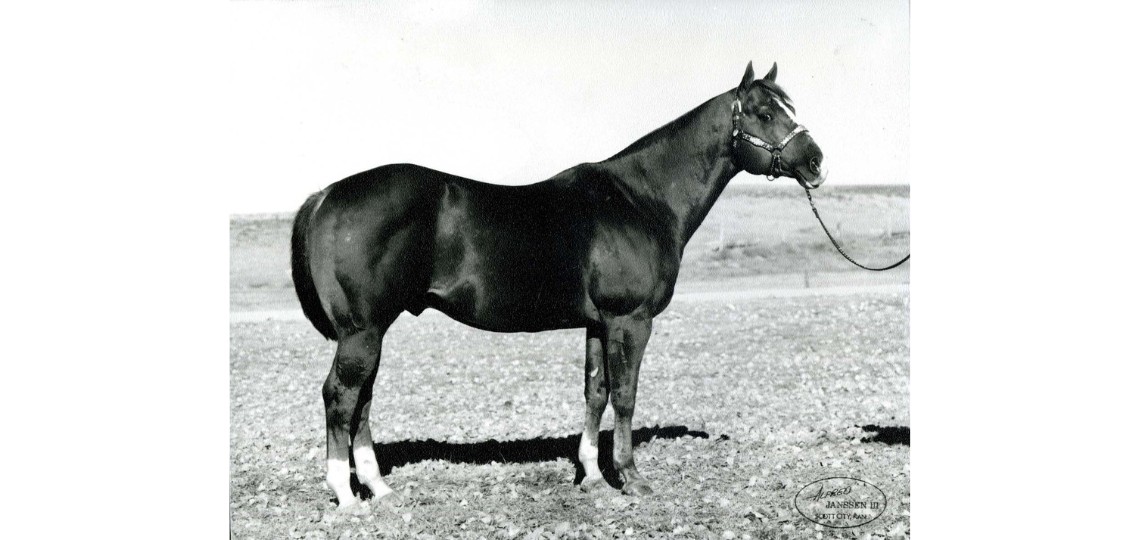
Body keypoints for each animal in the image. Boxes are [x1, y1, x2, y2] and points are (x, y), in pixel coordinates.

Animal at [290, 61, 827, 512]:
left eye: (788, 109)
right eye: (764, 113)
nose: (816, 161)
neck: (639, 199)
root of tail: (326, 195)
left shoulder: (597, 324)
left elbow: (595, 393)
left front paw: (592, 474)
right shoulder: (629, 321)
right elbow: (625, 396)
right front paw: (631, 477)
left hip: (371, 332)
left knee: (361, 400)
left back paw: (379, 488)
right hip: (362, 332)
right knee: (341, 395)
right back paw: (347, 495)